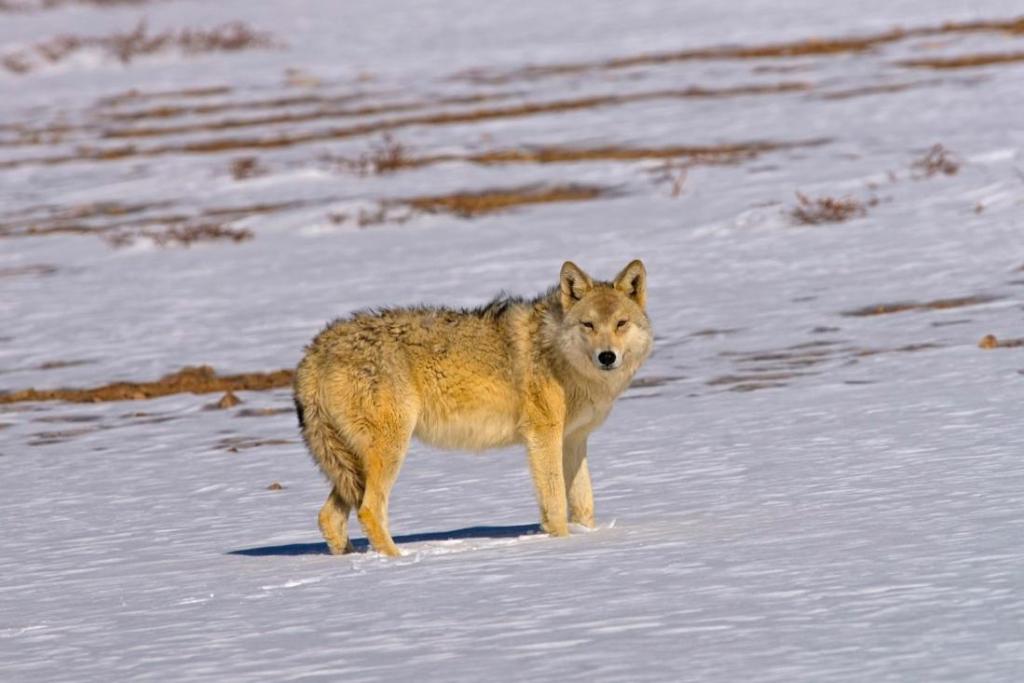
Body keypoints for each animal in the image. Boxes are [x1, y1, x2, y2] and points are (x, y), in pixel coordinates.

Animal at [293, 260, 652, 556]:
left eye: (621, 323)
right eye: (588, 325)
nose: (607, 356)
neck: (558, 354)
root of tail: (314, 350)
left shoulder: (574, 440)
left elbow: (584, 506)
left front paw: (588, 539)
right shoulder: (543, 436)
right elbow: (555, 503)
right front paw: (562, 545)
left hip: (352, 465)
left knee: (328, 516)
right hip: (390, 448)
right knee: (369, 509)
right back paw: (399, 561)